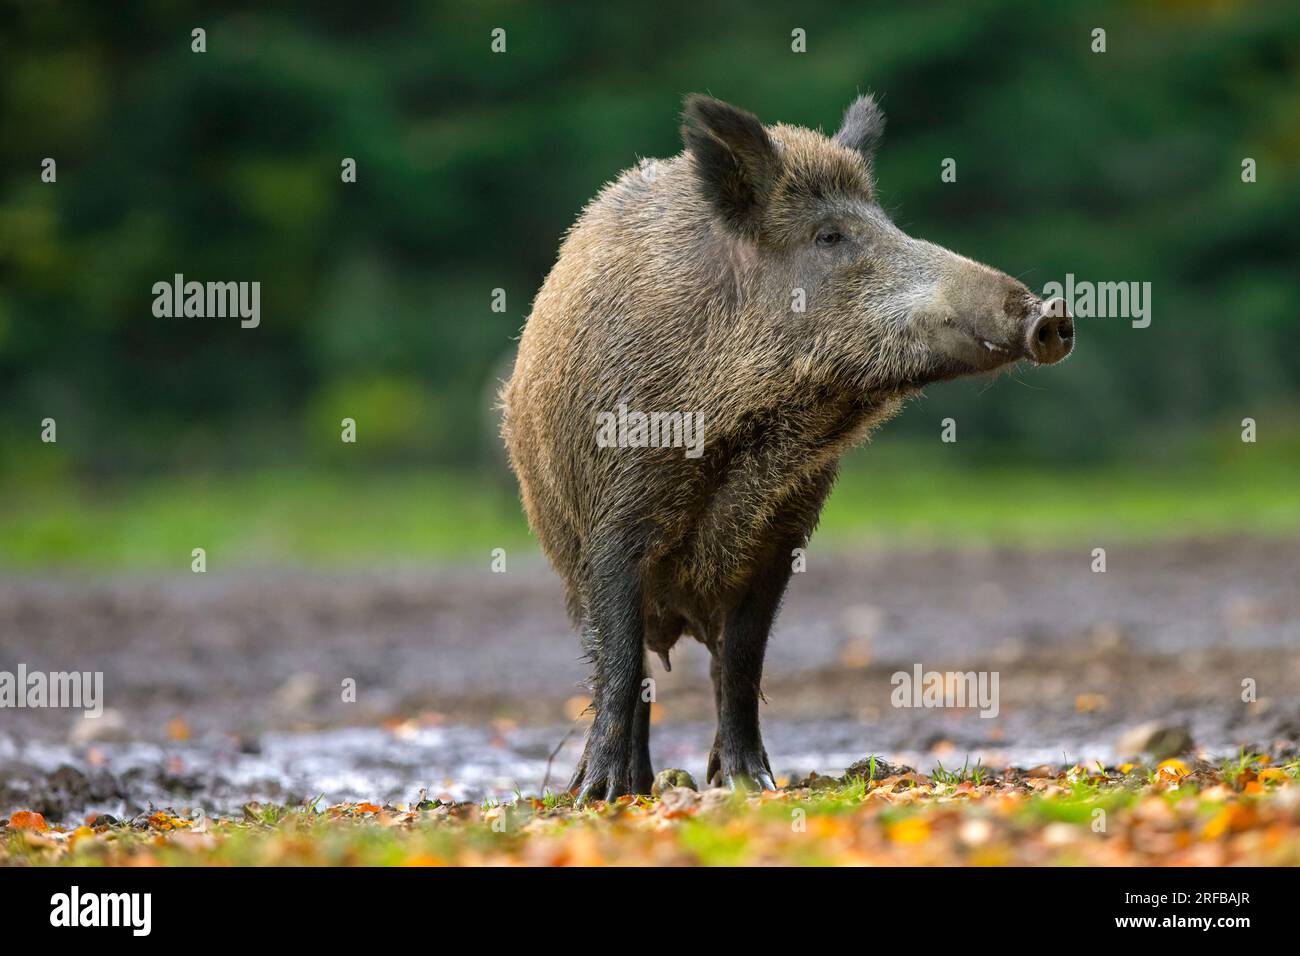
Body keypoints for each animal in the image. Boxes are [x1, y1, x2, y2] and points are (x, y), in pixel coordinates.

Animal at [500, 93, 1073, 801]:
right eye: (828, 236)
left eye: (886, 222)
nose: (1051, 313)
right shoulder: (615, 522)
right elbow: (621, 659)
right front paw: (594, 797)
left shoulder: (782, 533)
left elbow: (744, 662)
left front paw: (755, 786)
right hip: (562, 551)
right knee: (631, 666)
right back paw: (631, 785)